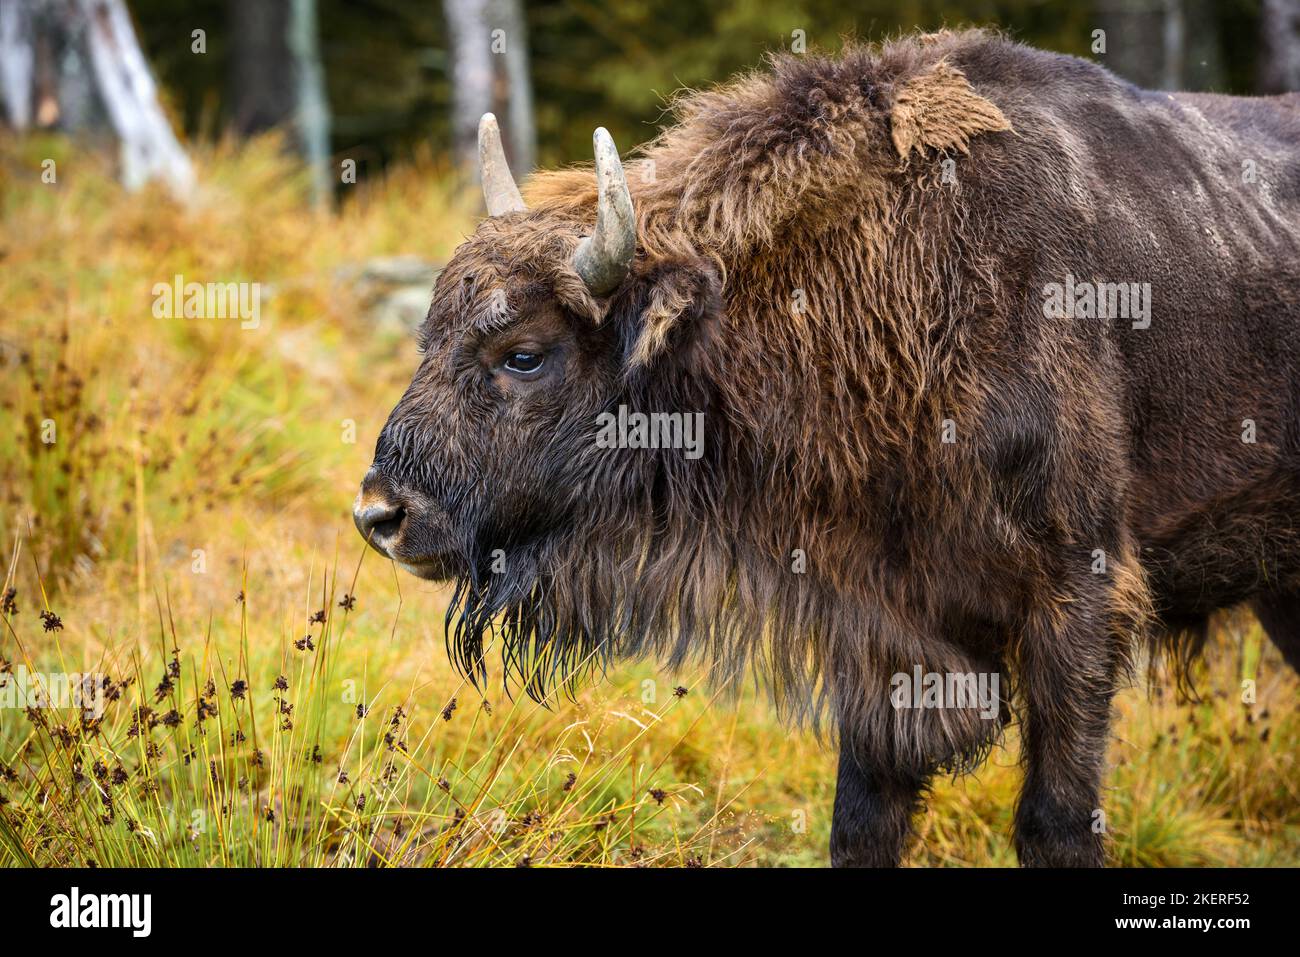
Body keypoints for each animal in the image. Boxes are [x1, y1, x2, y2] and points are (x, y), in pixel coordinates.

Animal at [354, 29, 1300, 866]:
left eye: (524, 353)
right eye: (429, 334)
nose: (381, 513)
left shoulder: (1078, 596)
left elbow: (1055, 823)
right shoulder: (879, 627)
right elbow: (861, 820)